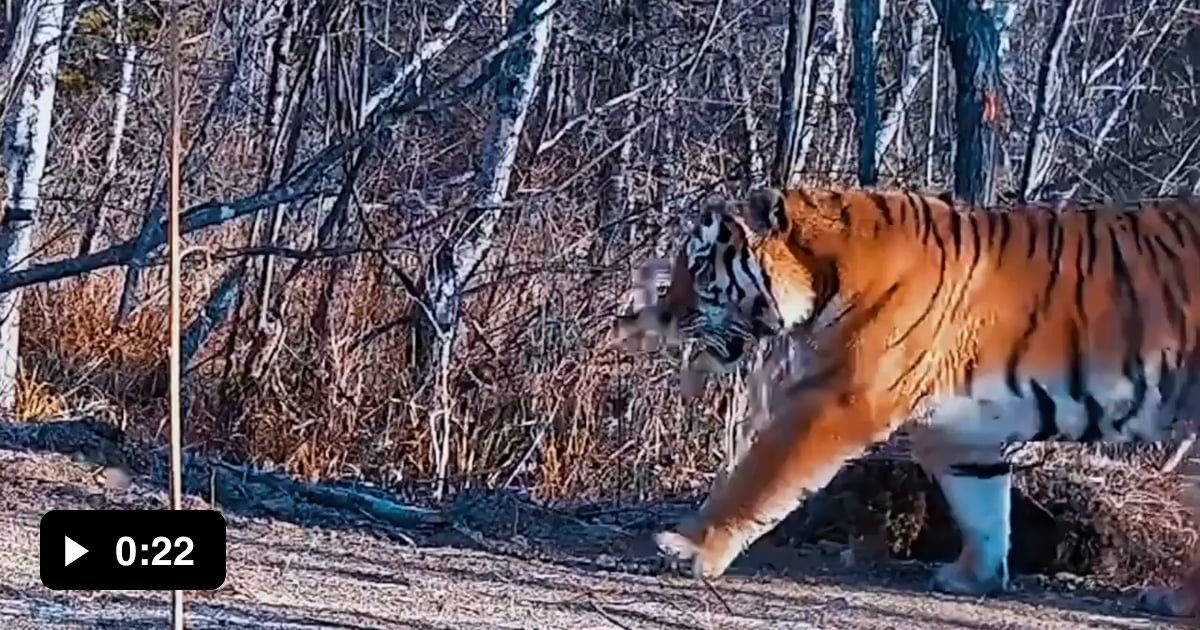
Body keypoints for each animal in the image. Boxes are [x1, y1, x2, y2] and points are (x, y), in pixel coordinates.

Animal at [614, 185, 1200, 618]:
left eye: (698, 269)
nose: (662, 315)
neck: (823, 273)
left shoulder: (839, 398)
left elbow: (760, 475)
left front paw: (690, 546)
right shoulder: (962, 431)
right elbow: (982, 506)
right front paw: (976, 576)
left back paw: (1175, 599)